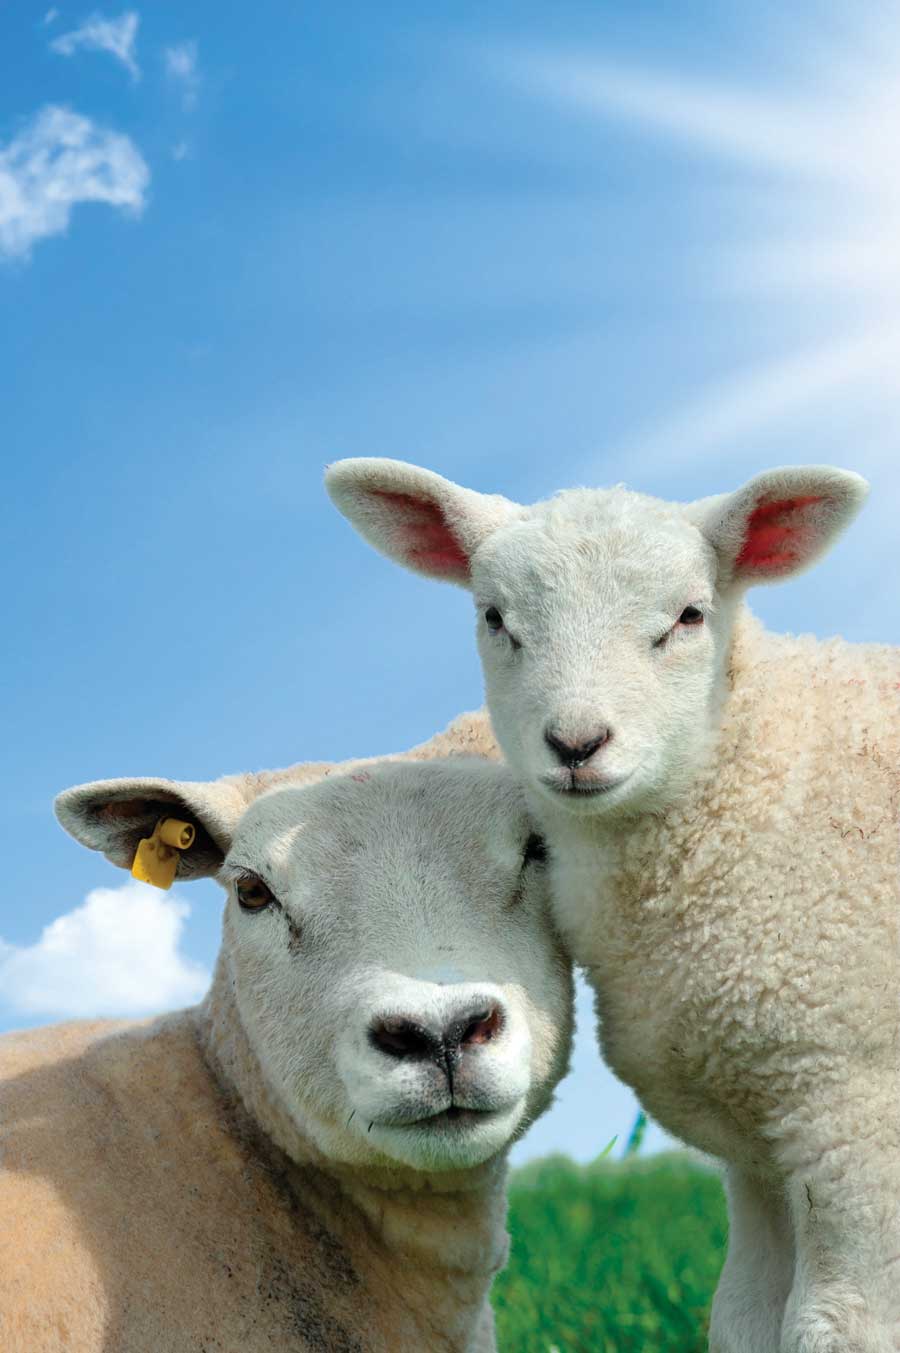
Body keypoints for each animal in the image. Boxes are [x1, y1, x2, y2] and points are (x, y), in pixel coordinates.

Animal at [327, 458, 900, 1353]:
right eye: (495, 618)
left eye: (690, 615)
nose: (576, 744)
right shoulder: (762, 1148)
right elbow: (743, 1315)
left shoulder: (857, 1105)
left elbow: (837, 1324)